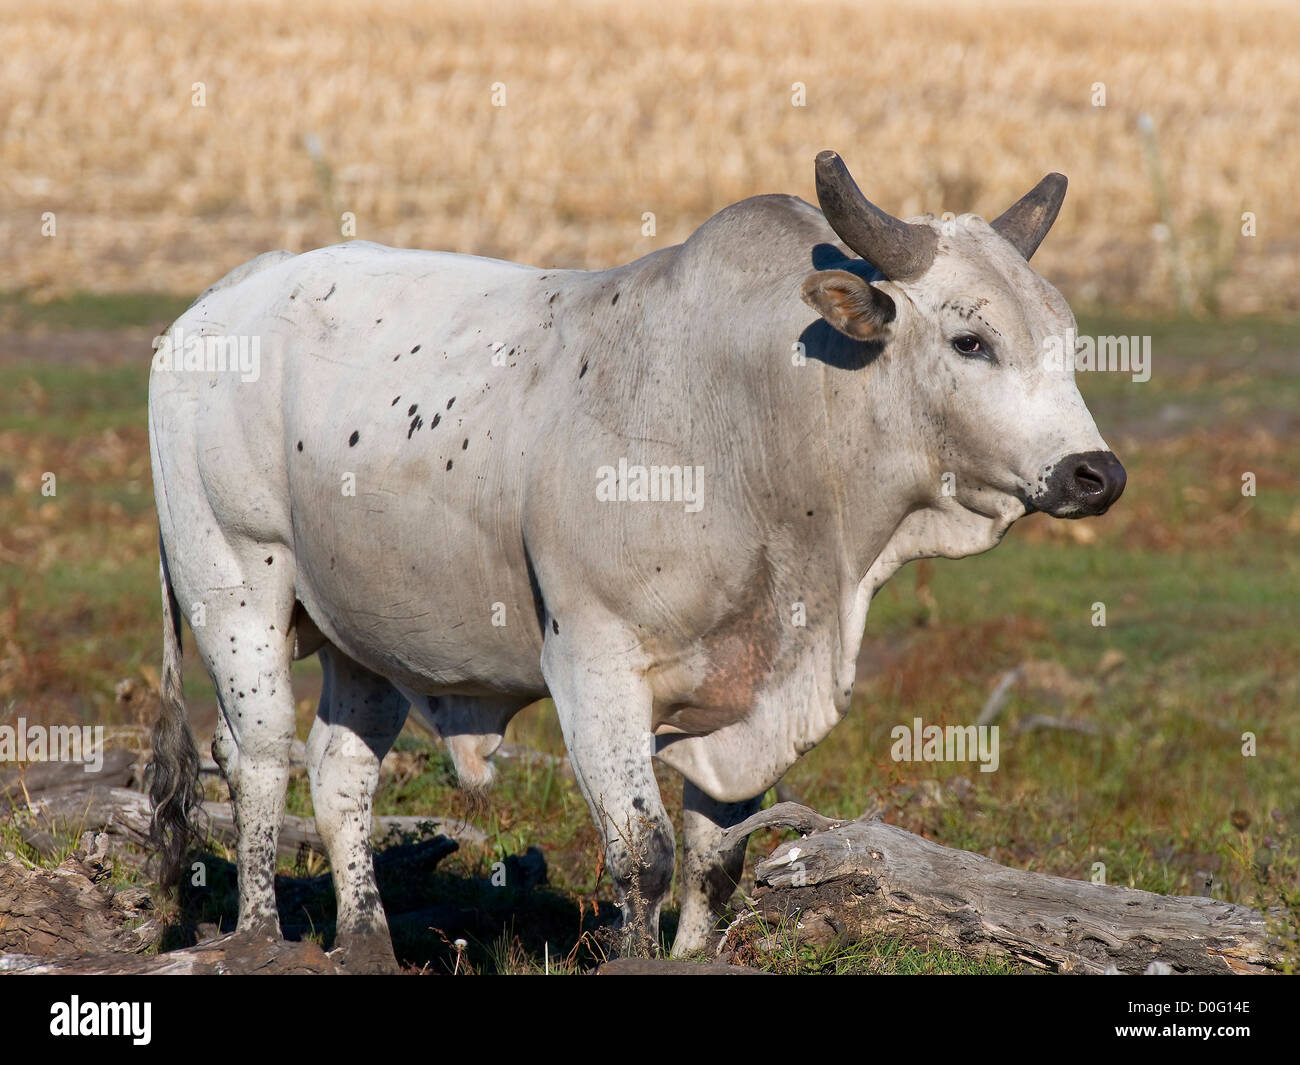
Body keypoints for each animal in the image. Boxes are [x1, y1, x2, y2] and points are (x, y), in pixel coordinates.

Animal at [146, 151, 1125, 969]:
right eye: (970, 341)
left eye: (1065, 336)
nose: (1096, 473)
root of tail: (222, 296)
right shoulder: (594, 661)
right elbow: (641, 850)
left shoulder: (743, 692)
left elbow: (714, 855)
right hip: (235, 587)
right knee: (256, 755)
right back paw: (260, 937)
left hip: (366, 629)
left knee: (339, 771)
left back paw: (364, 943)